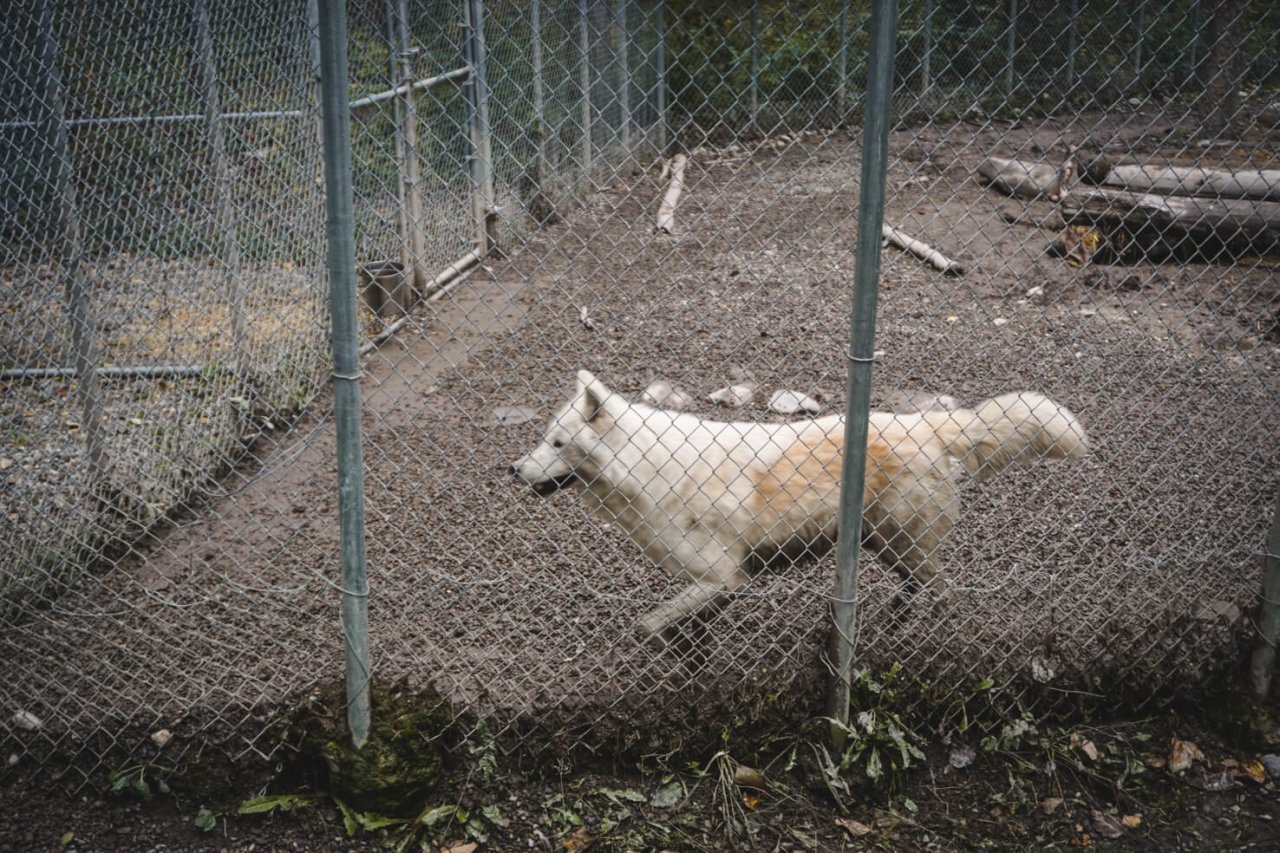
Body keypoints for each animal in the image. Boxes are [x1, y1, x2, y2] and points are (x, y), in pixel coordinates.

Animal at [512, 371, 1089, 637]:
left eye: (558, 444)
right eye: (543, 439)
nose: (513, 470)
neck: (645, 468)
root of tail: (924, 424)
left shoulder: (723, 577)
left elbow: (652, 622)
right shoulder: (716, 583)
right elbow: (685, 622)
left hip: (904, 543)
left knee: (943, 592)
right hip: (883, 546)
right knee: (917, 587)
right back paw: (888, 623)